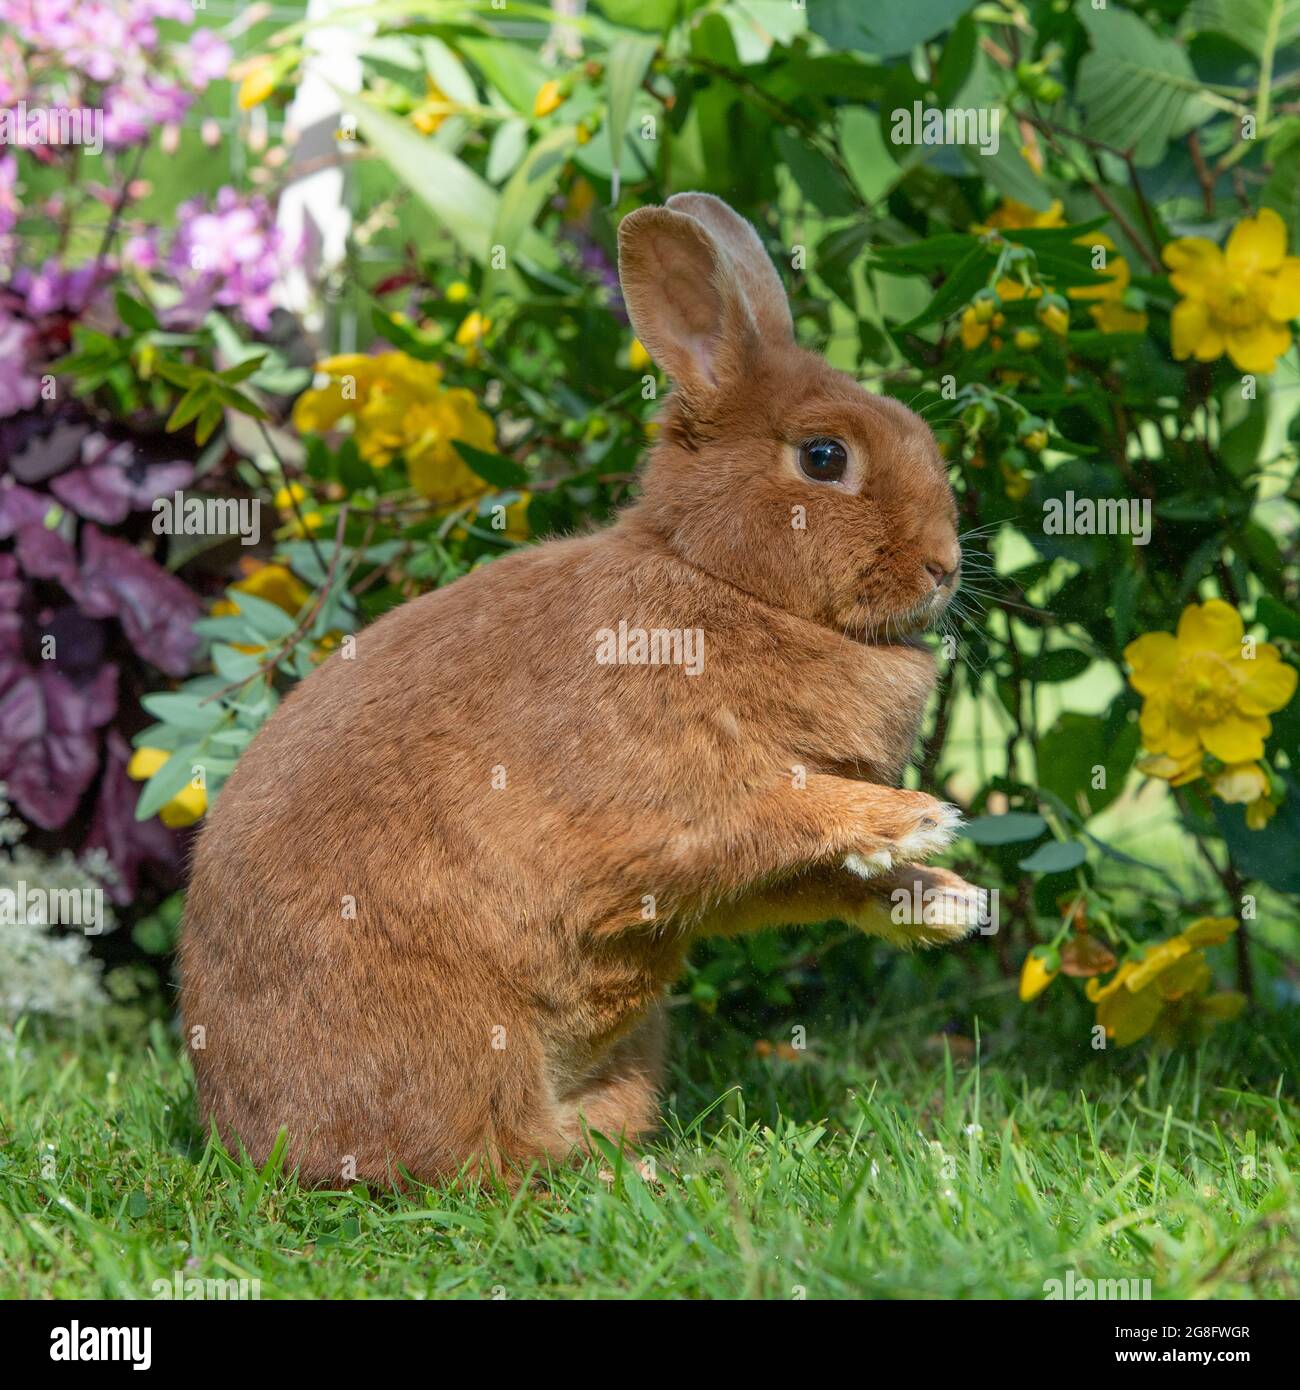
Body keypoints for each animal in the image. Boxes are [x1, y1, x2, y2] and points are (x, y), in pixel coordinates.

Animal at [180, 192, 986, 1188]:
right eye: (825, 457)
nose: (945, 569)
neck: (719, 578)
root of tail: (245, 1133)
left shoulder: (715, 885)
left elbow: (815, 881)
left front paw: (944, 901)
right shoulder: (670, 818)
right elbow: (784, 818)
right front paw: (917, 818)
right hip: (466, 1037)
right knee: (485, 1166)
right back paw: (634, 1178)